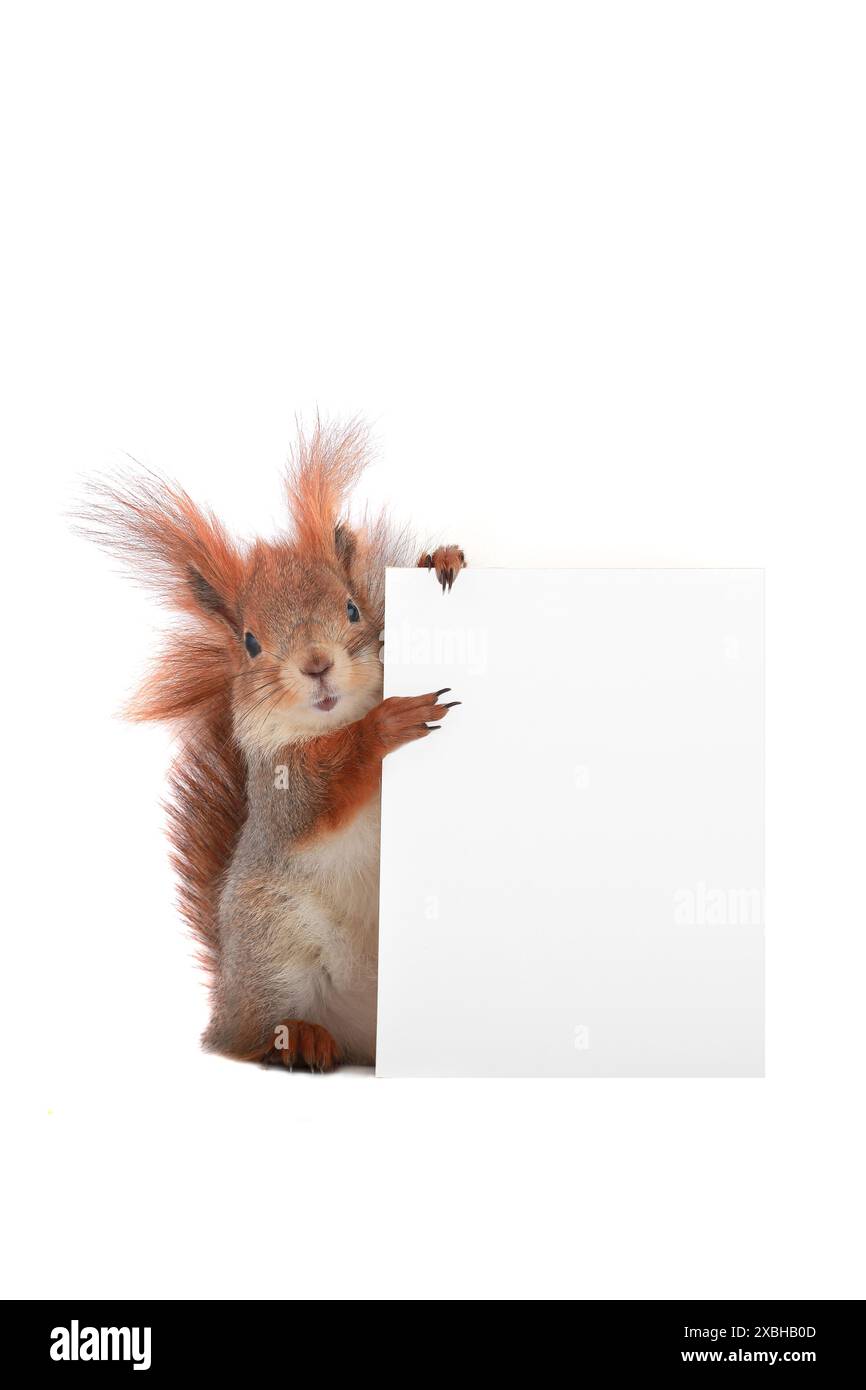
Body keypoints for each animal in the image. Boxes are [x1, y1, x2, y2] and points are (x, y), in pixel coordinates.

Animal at [79, 421, 464, 1071]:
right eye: (251, 642)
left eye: (354, 609)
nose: (316, 665)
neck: (329, 724)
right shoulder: (278, 787)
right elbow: (317, 801)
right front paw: (382, 726)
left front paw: (441, 560)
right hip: (271, 944)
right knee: (245, 1038)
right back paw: (298, 1037)